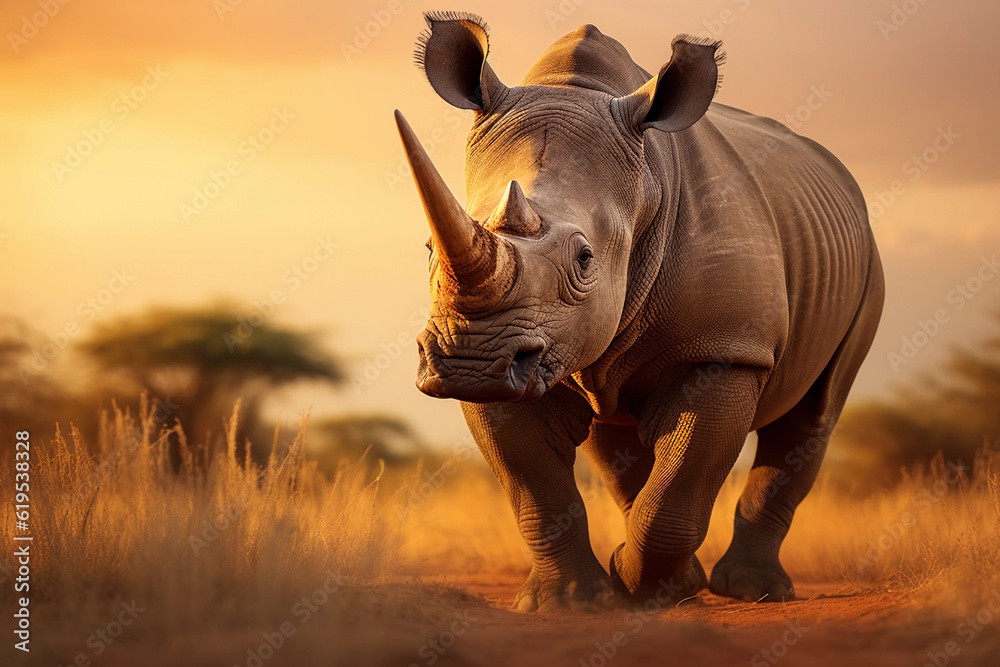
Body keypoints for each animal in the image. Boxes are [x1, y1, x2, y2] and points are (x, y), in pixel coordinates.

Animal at [395, 11, 884, 611]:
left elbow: (681, 488)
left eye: (585, 259)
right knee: (613, 435)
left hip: (867, 268)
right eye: (428, 249)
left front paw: (648, 589)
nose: (469, 360)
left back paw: (753, 592)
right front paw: (571, 603)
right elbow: (535, 489)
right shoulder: (519, 357)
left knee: (815, 412)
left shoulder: (725, 348)